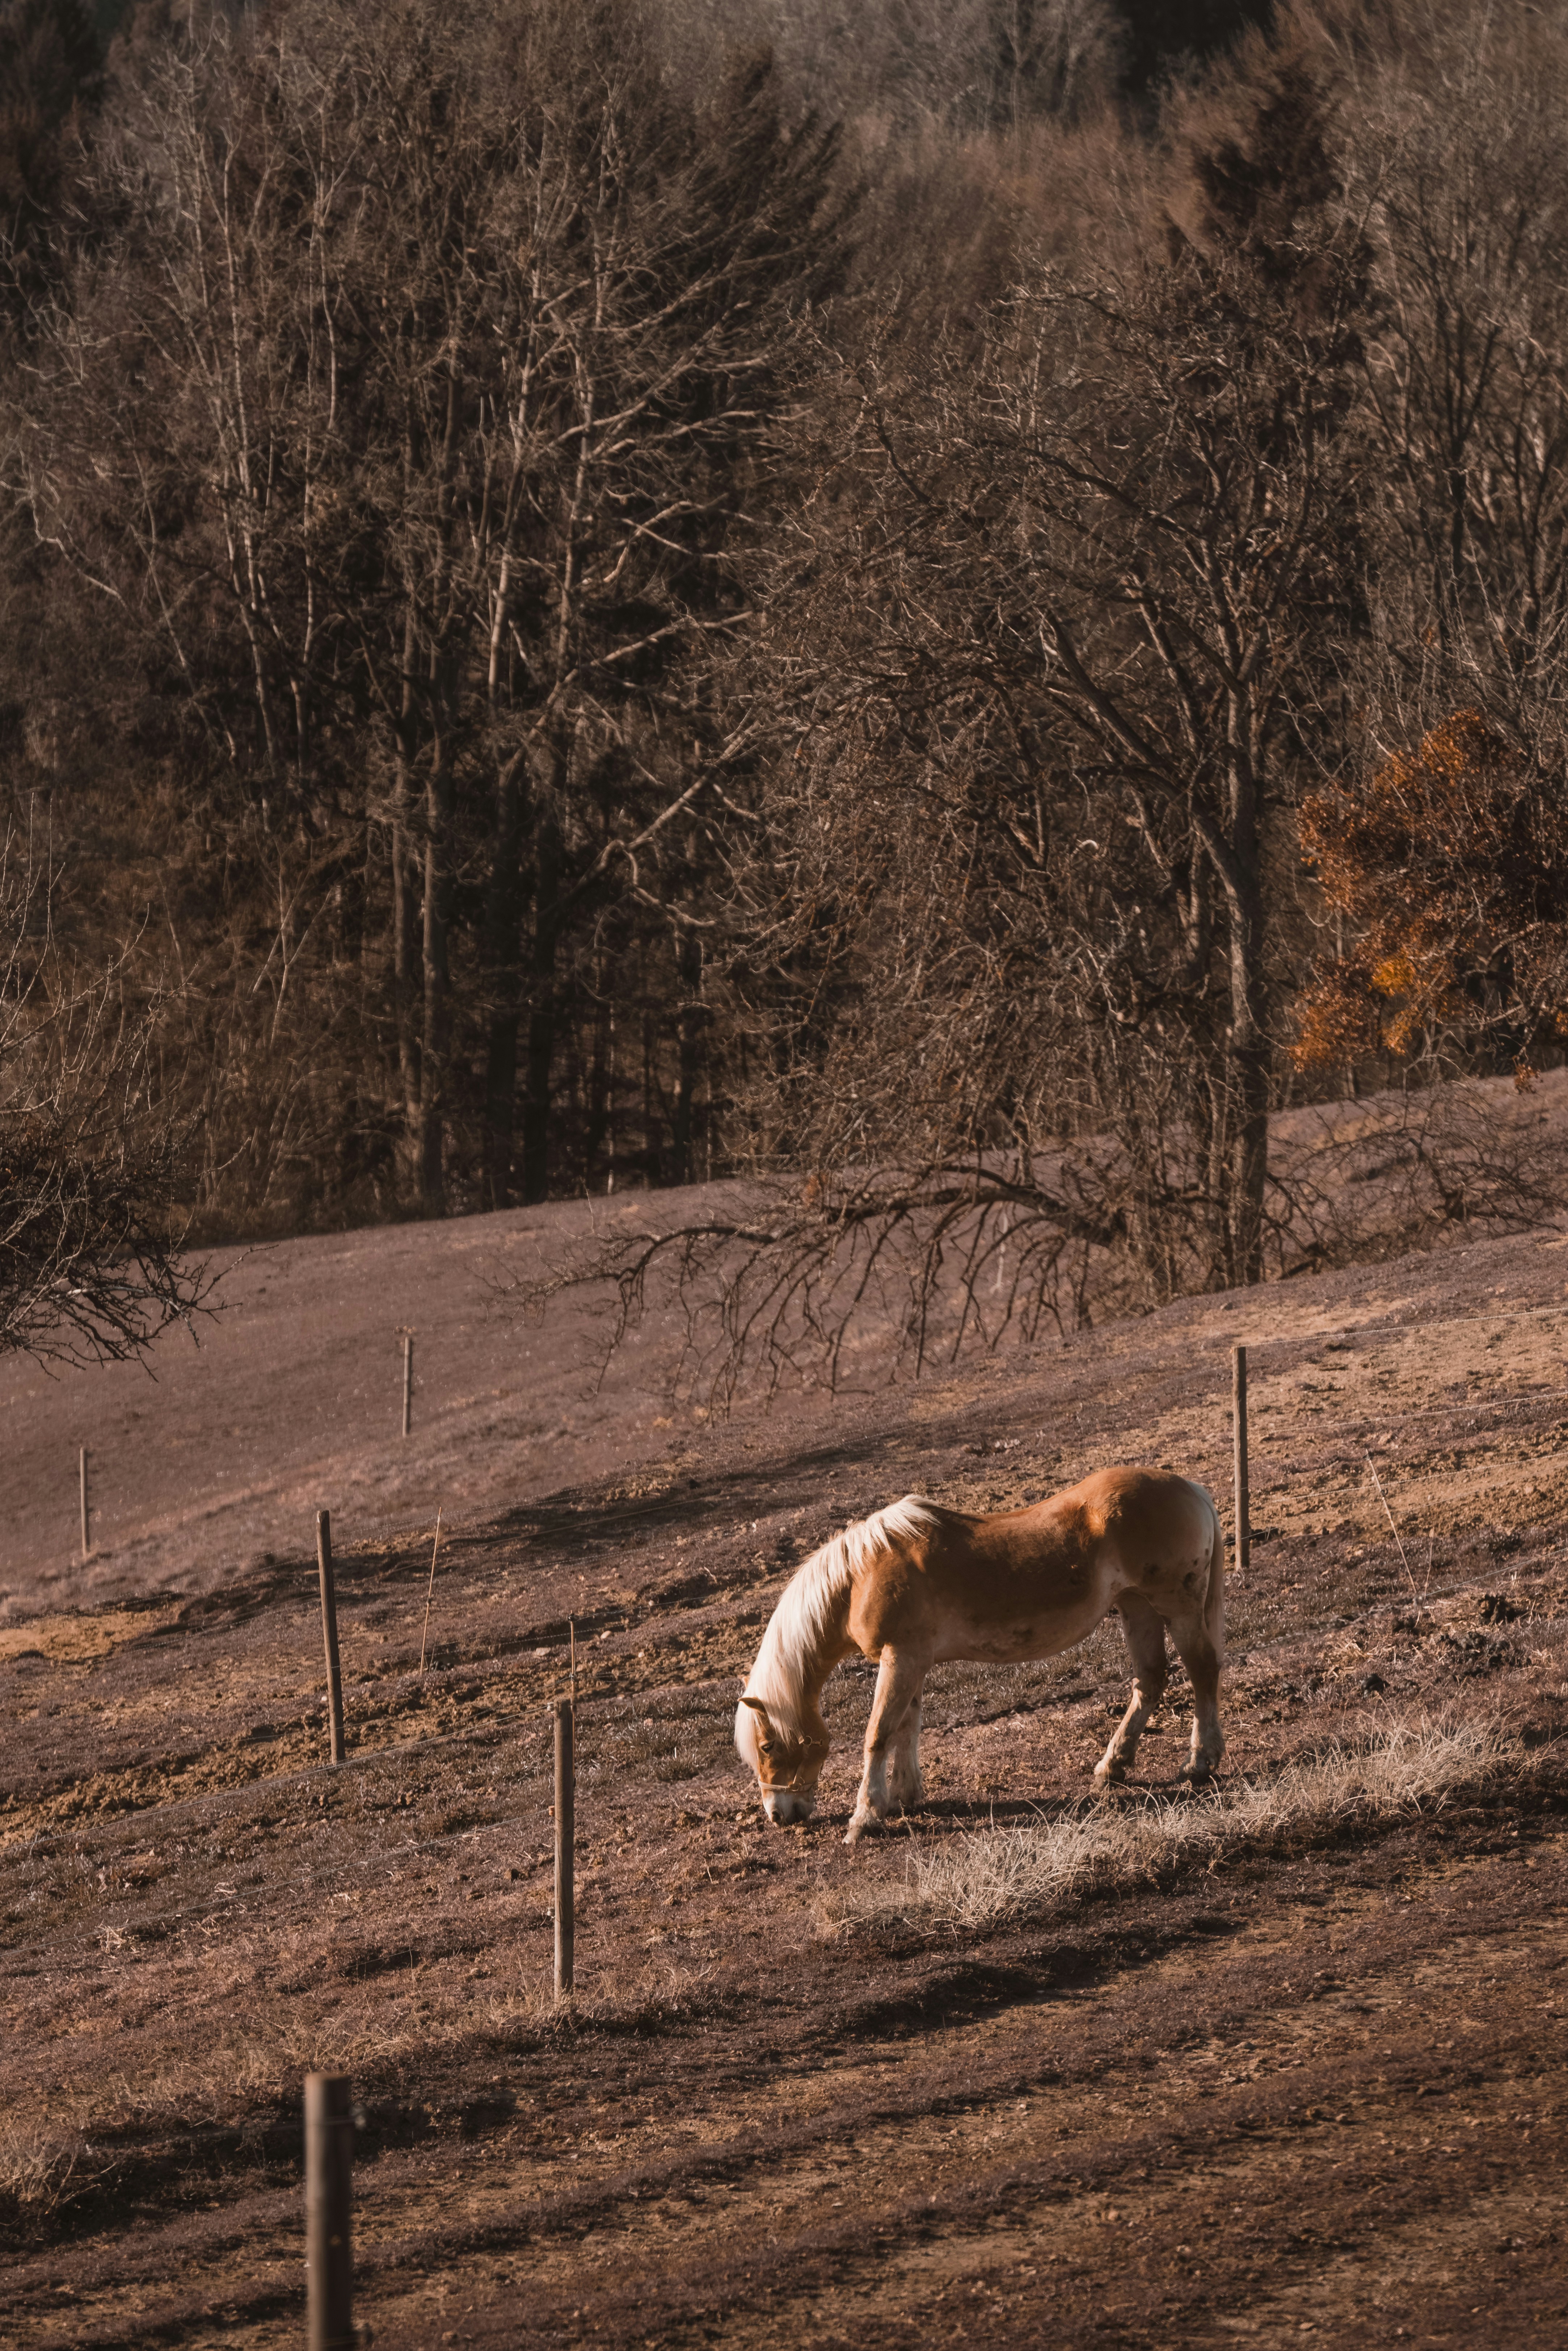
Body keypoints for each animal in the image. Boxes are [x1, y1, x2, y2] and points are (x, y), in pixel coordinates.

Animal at [735, 1466, 1225, 1843]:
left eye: (767, 1744)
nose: (779, 1814)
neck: (861, 1576)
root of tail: (1193, 1489)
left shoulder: (900, 1658)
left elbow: (878, 1732)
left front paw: (866, 1816)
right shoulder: (912, 1661)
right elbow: (907, 1725)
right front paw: (906, 1796)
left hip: (1175, 1605)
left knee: (1202, 1669)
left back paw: (1201, 1761)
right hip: (1137, 1605)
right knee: (1151, 1680)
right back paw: (1112, 1767)